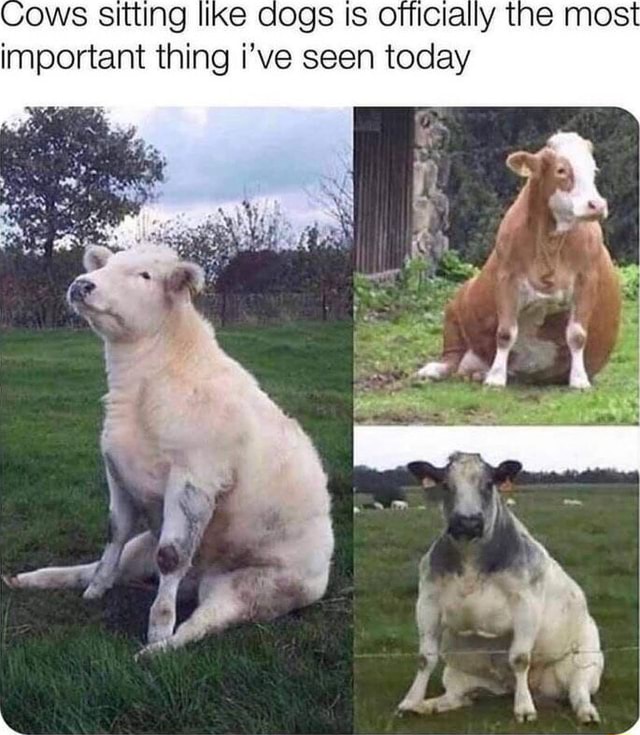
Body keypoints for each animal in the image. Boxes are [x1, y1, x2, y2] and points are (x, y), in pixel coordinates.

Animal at [2, 245, 334, 659]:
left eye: (145, 275)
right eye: (106, 265)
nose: (82, 284)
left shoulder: (194, 477)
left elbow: (172, 556)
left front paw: (158, 628)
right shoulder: (116, 469)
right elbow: (114, 531)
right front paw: (96, 589)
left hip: (256, 587)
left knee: (206, 619)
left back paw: (159, 651)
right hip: (143, 549)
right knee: (103, 563)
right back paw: (35, 579)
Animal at [397, 452, 603, 724]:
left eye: (488, 484)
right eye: (446, 485)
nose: (468, 522)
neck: (471, 559)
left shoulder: (526, 604)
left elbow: (520, 659)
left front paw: (524, 708)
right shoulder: (427, 601)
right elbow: (424, 658)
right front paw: (410, 701)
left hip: (587, 661)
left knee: (578, 691)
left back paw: (585, 712)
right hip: (457, 672)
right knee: (456, 697)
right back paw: (428, 705)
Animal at [418, 132, 621, 389]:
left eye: (593, 169)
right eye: (561, 170)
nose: (597, 205)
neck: (550, 245)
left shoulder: (587, 280)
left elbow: (577, 334)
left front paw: (579, 380)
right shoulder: (506, 278)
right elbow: (505, 333)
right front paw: (496, 378)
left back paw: (478, 373)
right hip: (455, 306)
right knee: (452, 355)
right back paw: (437, 369)